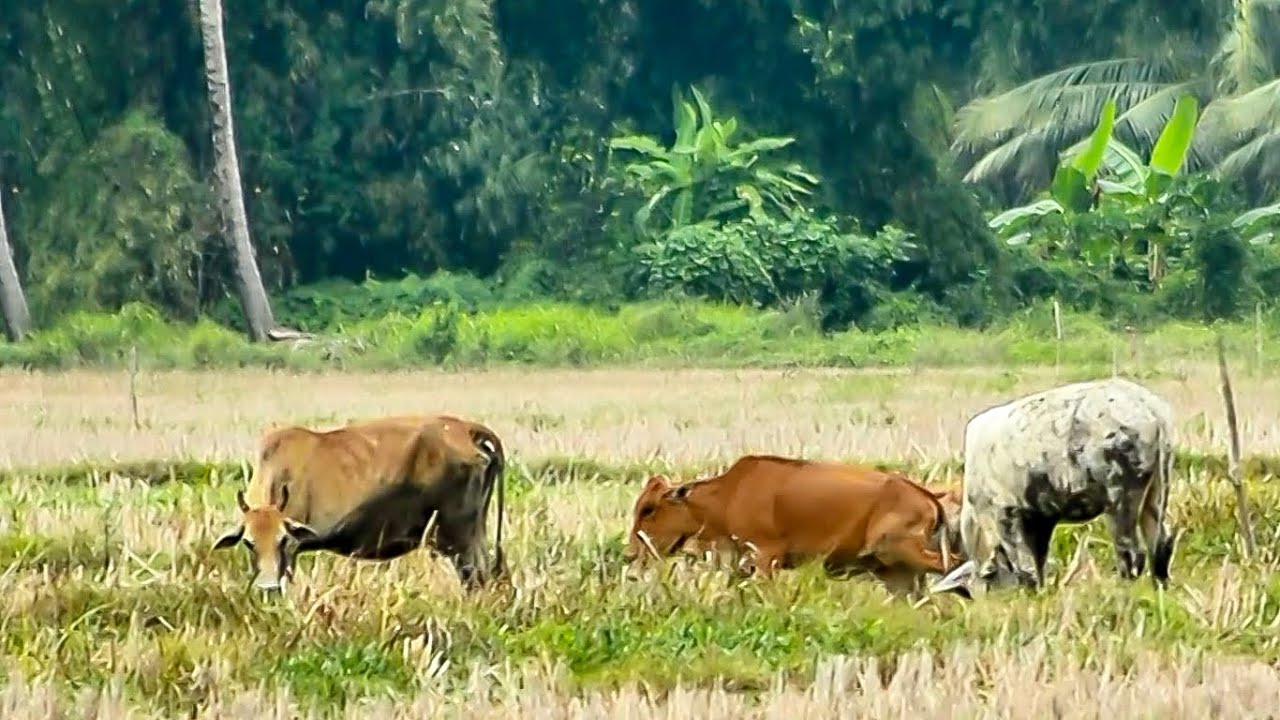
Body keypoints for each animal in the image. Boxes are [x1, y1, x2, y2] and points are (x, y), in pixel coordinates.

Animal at [211, 413, 507, 594]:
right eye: (249, 543)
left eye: (282, 540)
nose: (268, 588)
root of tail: (466, 428)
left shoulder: (293, 548)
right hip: (474, 531)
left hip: (459, 537)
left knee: (478, 578)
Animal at [624, 455, 962, 597]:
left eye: (648, 508)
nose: (631, 553)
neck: (728, 494)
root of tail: (926, 495)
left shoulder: (765, 557)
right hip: (894, 570)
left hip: (902, 551)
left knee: (954, 566)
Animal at [930, 377, 1179, 598]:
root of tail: (1152, 411)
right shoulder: (1040, 520)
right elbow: (1038, 564)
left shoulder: (1006, 514)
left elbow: (1025, 569)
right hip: (1158, 490)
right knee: (1161, 545)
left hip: (1121, 498)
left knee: (1131, 553)